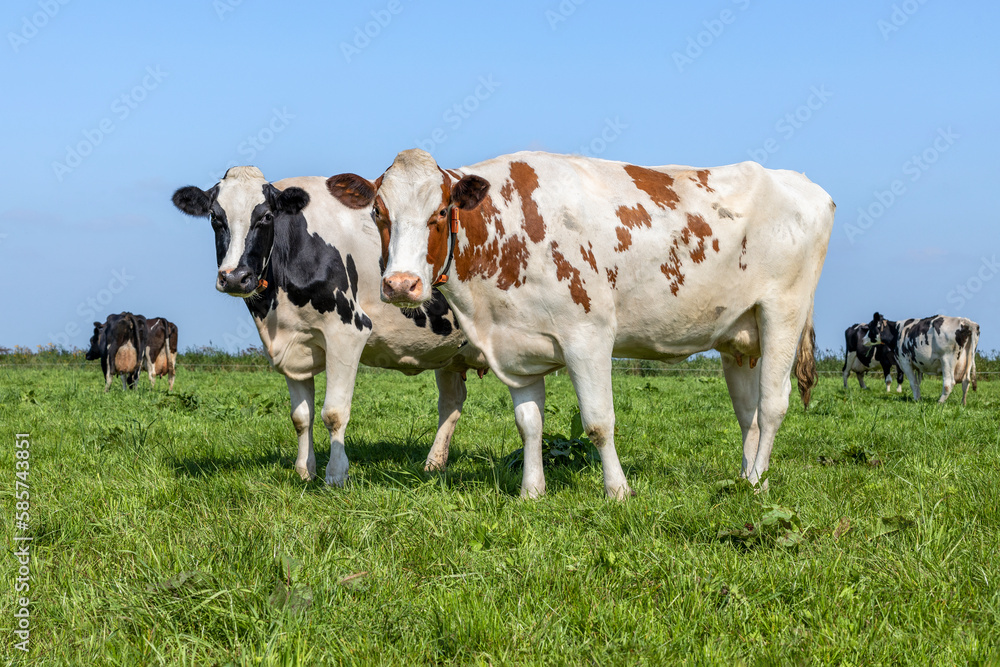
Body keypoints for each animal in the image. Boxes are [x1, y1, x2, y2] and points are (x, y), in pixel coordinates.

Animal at [172, 166, 487, 485]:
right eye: (215, 217)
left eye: (266, 216)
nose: (236, 277)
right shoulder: (292, 342)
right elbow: (301, 417)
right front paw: (304, 471)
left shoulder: (347, 331)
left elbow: (334, 413)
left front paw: (336, 475)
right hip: (449, 352)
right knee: (451, 402)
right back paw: (434, 465)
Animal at [328, 149, 834, 499]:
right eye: (378, 213)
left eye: (438, 213)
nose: (400, 284)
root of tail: (805, 184)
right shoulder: (514, 345)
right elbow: (528, 423)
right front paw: (532, 490)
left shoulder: (588, 337)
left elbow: (598, 422)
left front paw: (618, 490)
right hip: (740, 335)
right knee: (748, 414)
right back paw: (746, 477)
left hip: (782, 311)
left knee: (772, 406)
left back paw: (757, 483)